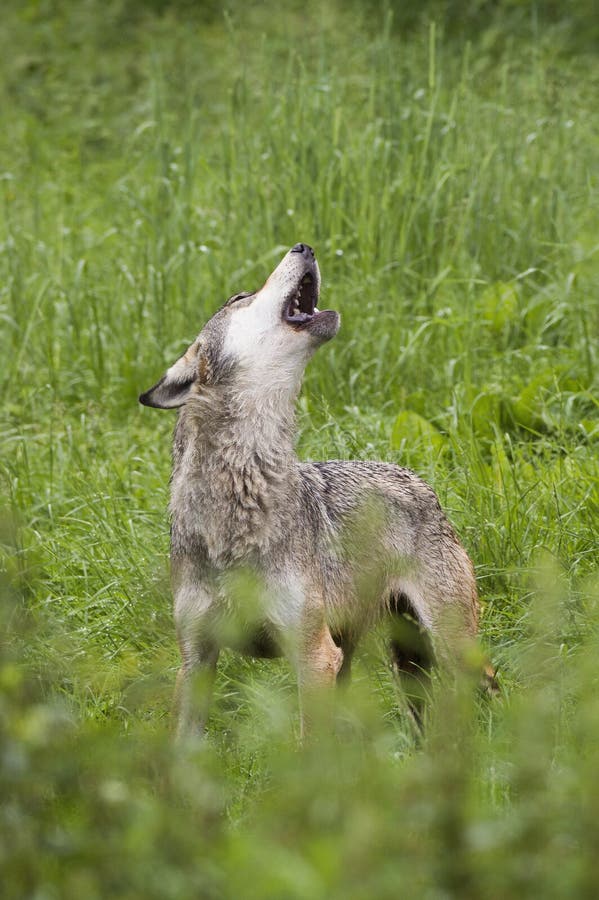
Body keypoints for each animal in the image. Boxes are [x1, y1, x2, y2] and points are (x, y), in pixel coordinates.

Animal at [140, 243, 484, 739]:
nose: (304, 246)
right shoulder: (196, 658)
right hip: (386, 660)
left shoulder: (314, 655)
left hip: (448, 646)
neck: (238, 502)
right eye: (239, 296)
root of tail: (414, 477)